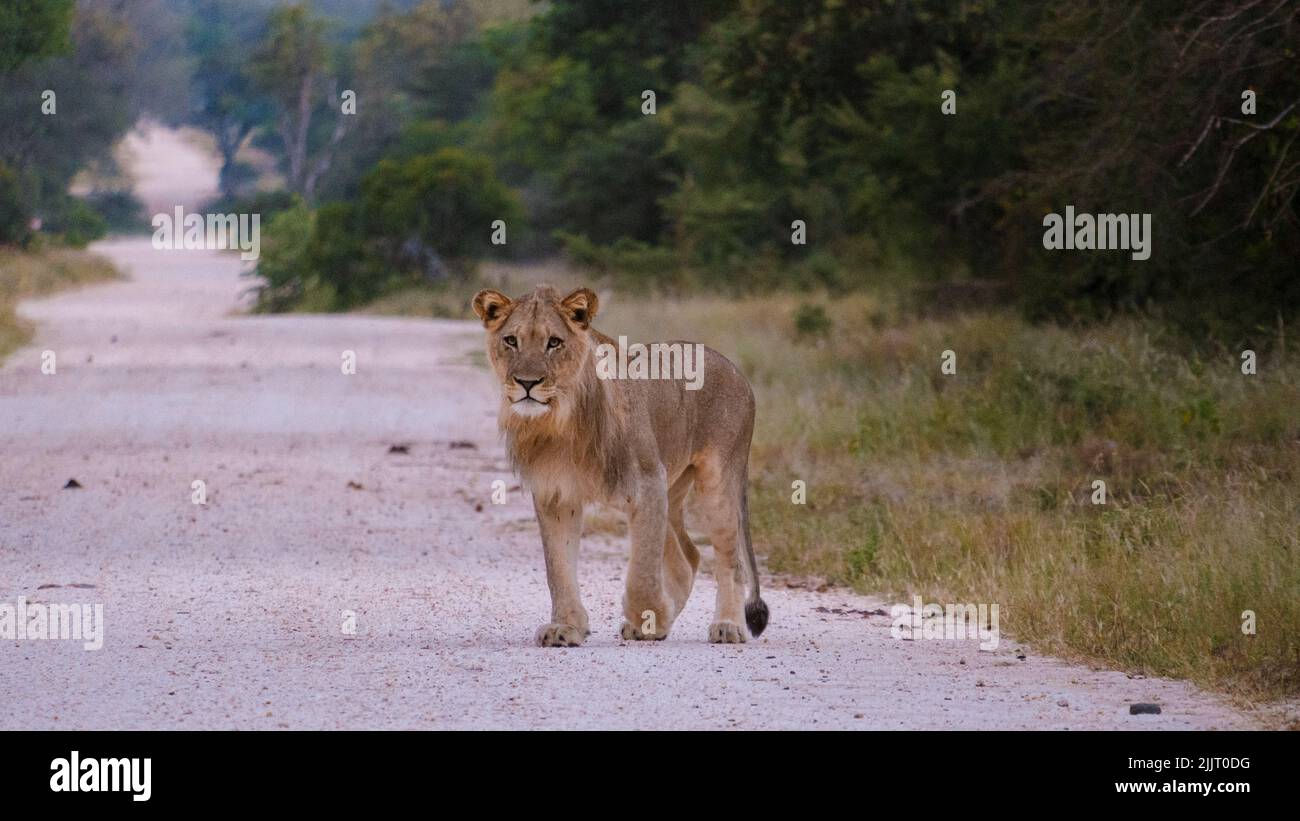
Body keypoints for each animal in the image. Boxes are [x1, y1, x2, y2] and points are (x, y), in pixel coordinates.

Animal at [471, 284, 769, 646]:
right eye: (511, 340)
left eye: (554, 342)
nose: (527, 382)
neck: (559, 420)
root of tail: (737, 370)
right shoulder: (556, 495)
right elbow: (558, 567)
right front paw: (566, 627)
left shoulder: (646, 483)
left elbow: (642, 572)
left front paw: (648, 615)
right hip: (671, 488)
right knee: (687, 557)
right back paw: (661, 622)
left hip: (716, 480)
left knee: (730, 559)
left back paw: (727, 625)